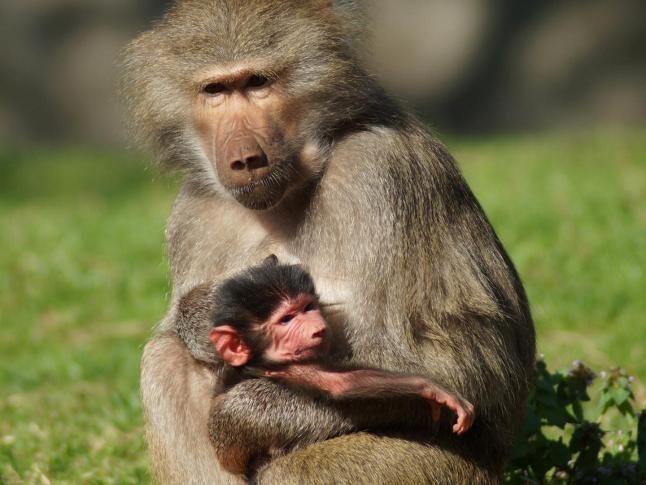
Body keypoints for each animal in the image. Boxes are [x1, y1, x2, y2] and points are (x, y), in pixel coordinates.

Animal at [176, 256, 475, 476]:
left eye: (307, 307)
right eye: (286, 320)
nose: (317, 326)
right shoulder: (283, 364)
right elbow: (339, 384)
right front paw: (432, 389)